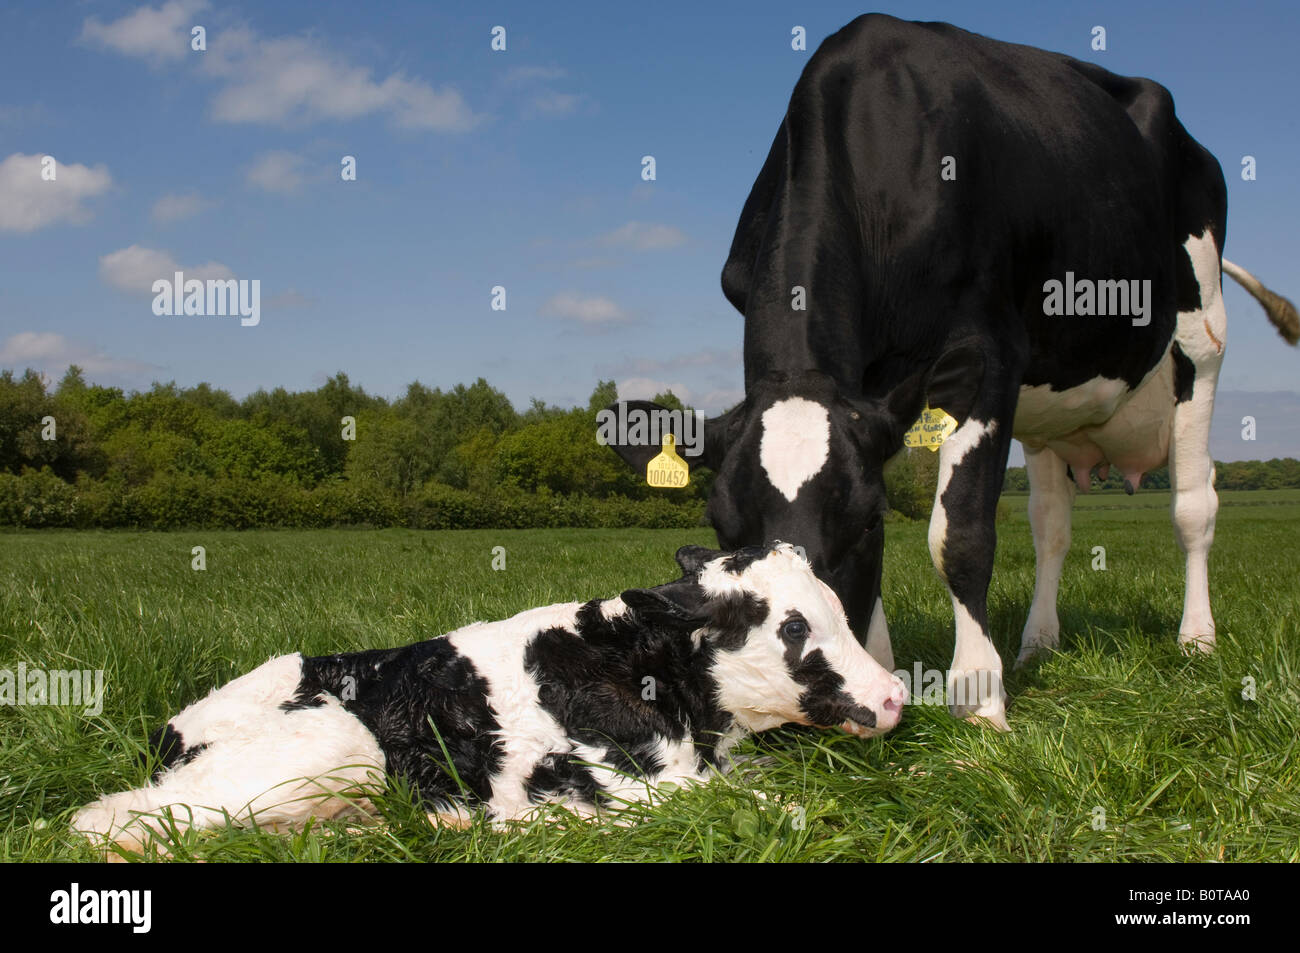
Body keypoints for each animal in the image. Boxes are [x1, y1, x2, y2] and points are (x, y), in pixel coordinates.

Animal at [72, 543, 906, 853]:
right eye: (793, 625)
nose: (895, 693)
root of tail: (170, 729)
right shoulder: (627, 785)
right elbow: (784, 808)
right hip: (332, 743)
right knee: (102, 818)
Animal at [605, 14, 1298, 730]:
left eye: (869, 520)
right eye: (721, 524)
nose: (800, 715)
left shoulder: (988, 355)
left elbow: (960, 535)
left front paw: (980, 696)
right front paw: (883, 664)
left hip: (1200, 335)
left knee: (1194, 503)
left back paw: (1196, 642)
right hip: (1053, 409)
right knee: (1052, 525)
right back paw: (1037, 644)